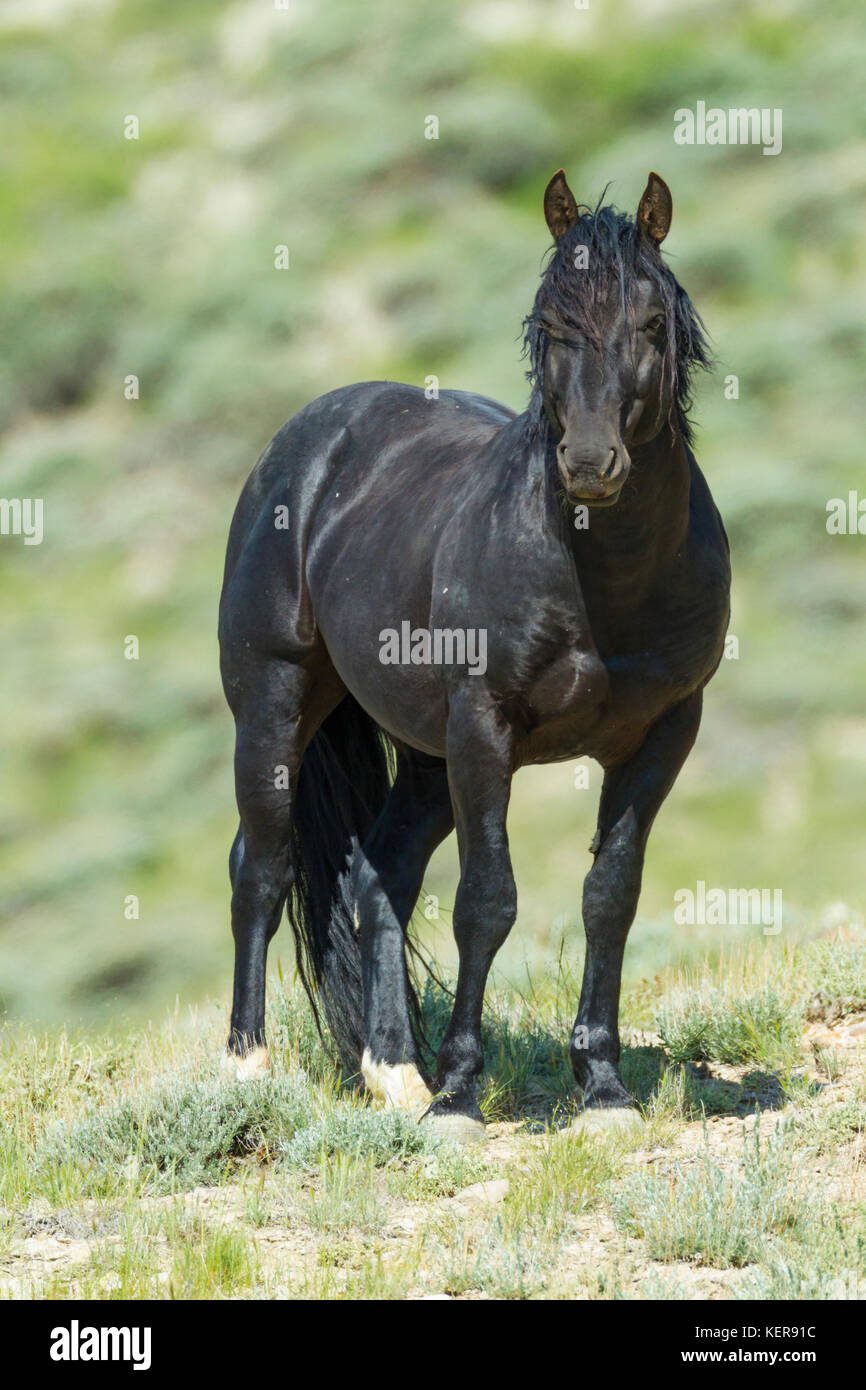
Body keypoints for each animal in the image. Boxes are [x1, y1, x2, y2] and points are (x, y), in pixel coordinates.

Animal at [218, 170, 731, 1141]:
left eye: (651, 320)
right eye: (551, 321)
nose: (591, 463)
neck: (603, 582)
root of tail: (304, 444)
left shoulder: (665, 736)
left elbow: (610, 897)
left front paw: (602, 1085)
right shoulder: (485, 730)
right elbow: (486, 902)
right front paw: (460, 1093)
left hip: (424, 754)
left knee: (375, 877)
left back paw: (393, 1073)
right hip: (276, 704)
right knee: (259, 868)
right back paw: (245, 1069)